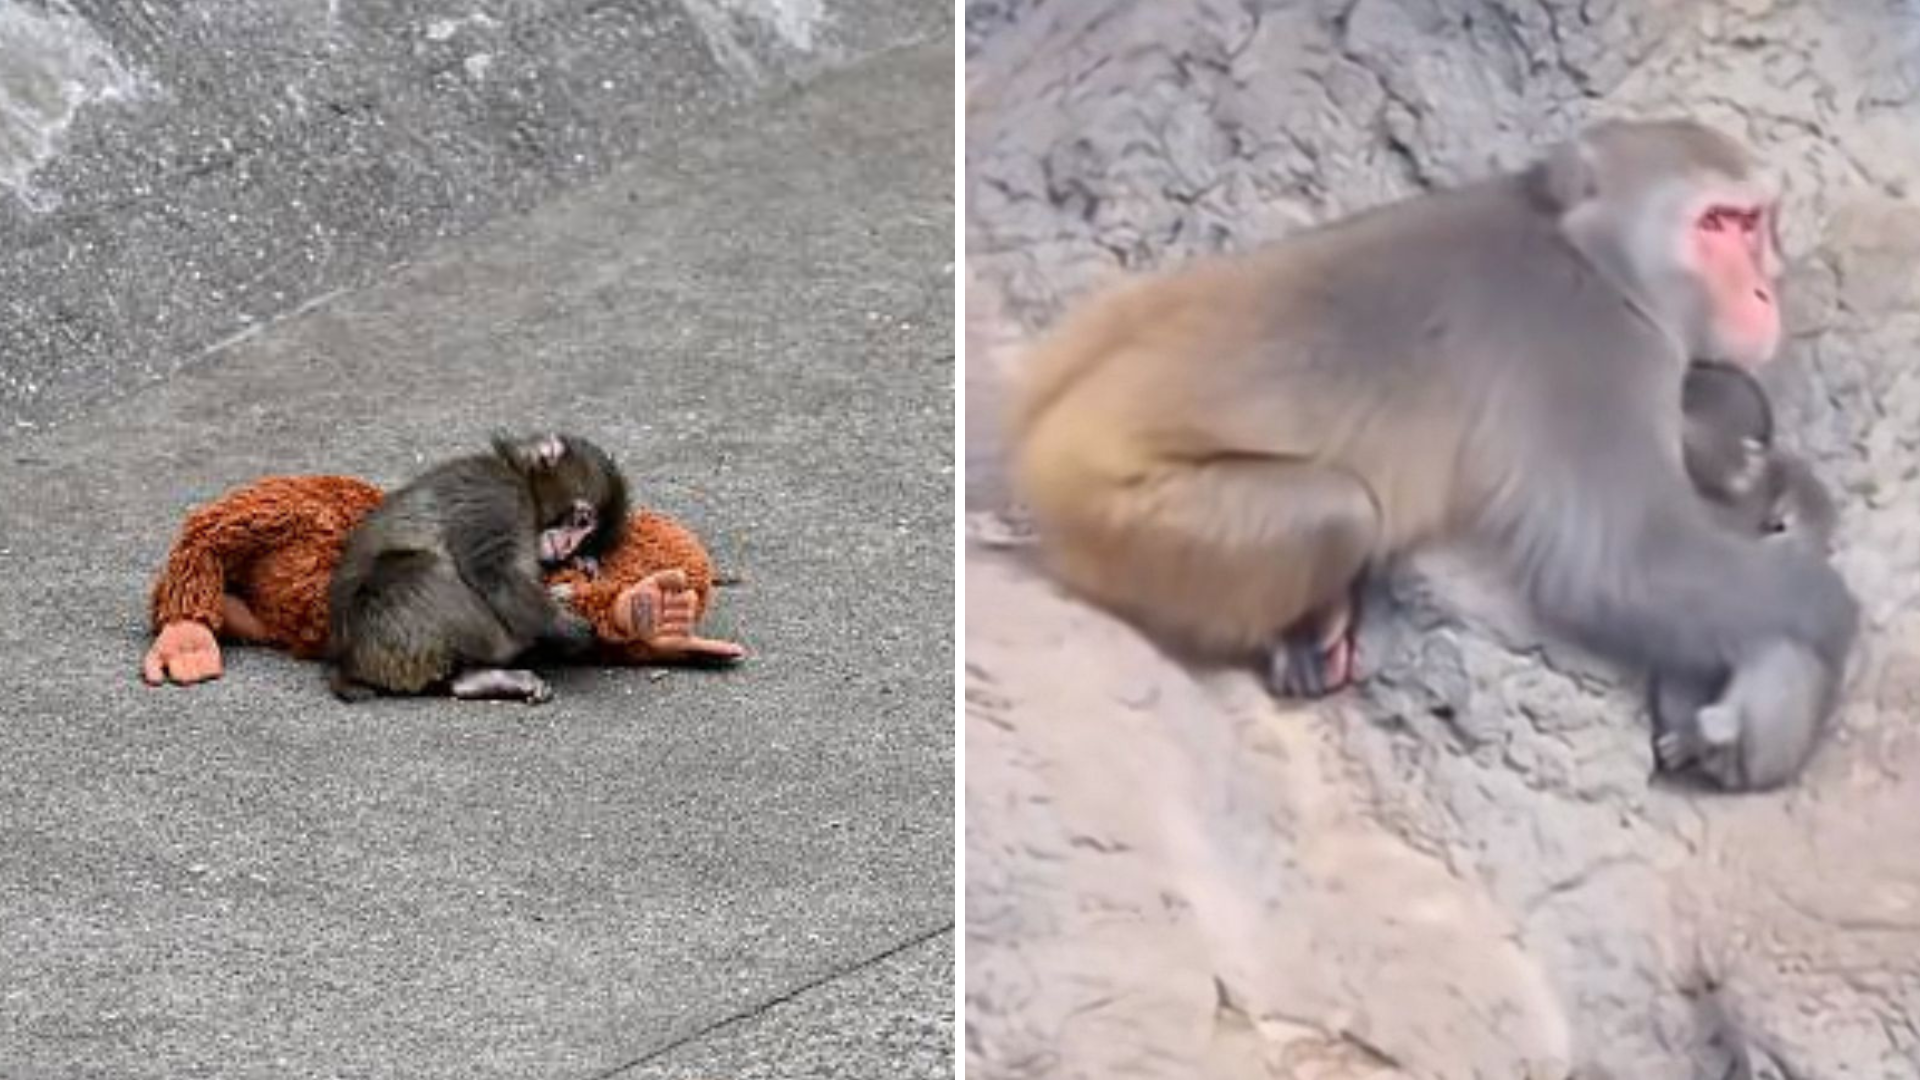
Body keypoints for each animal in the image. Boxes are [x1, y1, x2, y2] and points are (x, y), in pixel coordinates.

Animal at [326, 432, 630, 704]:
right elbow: (492, 571)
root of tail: (346, 661)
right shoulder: (496, 498)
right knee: (423, 570)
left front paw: (582, 563)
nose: (568, 548)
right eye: (581, 521)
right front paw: (563, 625)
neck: (519, 480)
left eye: (587, 541)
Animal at [1006, 119, 1860, 791]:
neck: (1586, 250)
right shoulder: (1593, 346)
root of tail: (1041, 432)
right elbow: (1624, 566)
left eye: (1753, 223)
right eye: (1715, 224)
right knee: (1337, 511)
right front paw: (1830, 630)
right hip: (1117, 516)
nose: (1764, 290)